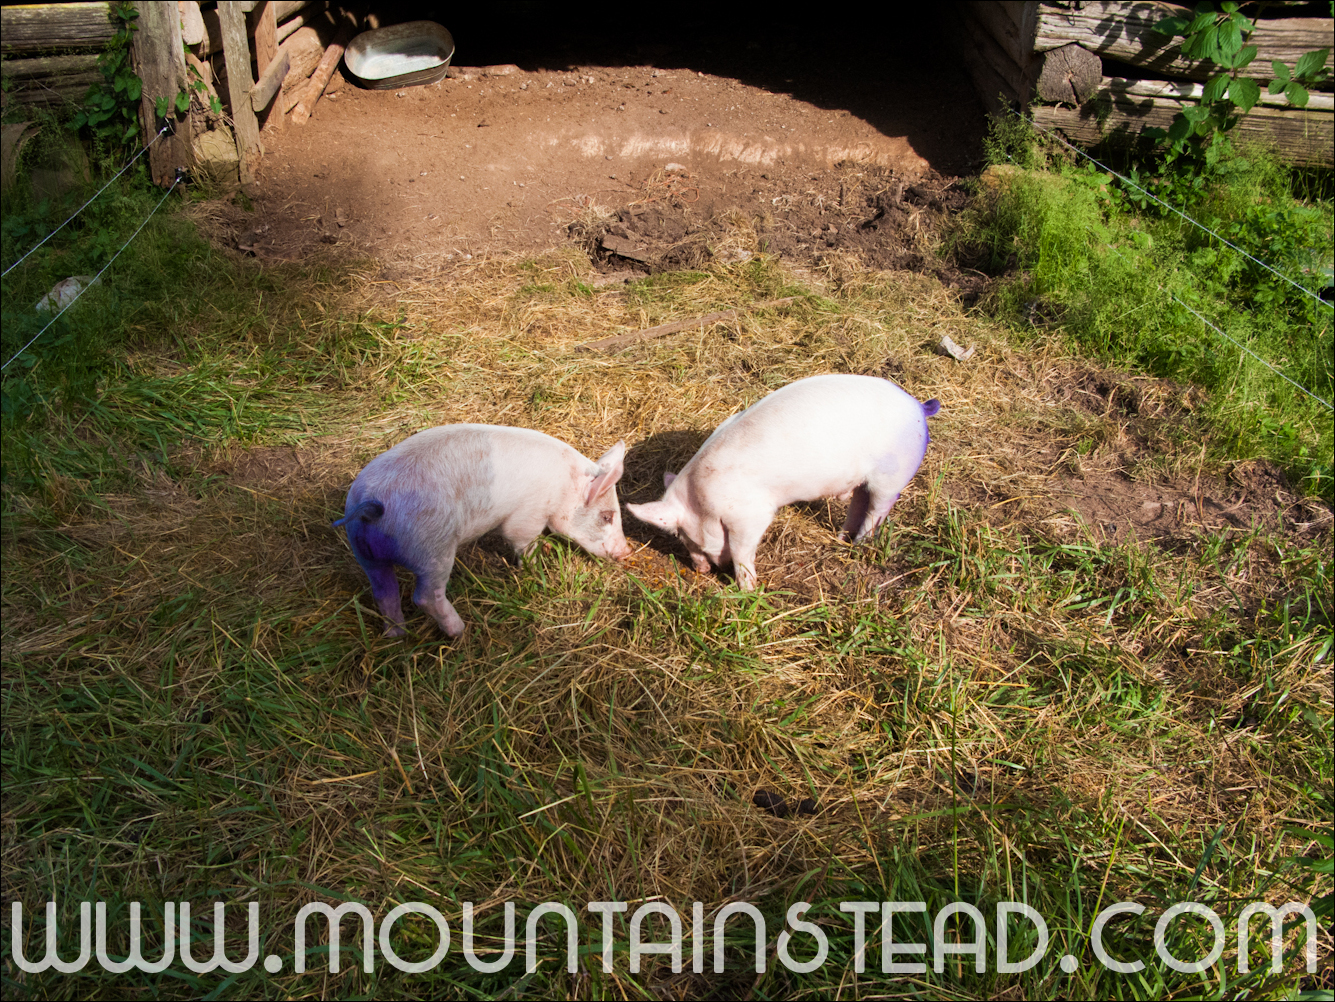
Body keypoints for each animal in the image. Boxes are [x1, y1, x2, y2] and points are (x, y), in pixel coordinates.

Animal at [334, 424, 631, 637]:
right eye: (607, 516)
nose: (627, 551)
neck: (565, 487)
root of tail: (370, 505)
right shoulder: (529, 513)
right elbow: (519, 539)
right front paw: (537, 565)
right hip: (432, 549)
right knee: (424, 597)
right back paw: (459, 631)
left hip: (365, 553)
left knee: (384, 593)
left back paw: (397, 635)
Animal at [626, 374, 940, 590]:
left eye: (692, 538)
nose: (704, 570)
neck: (701, 497)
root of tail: (919, 407)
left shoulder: (751, 515)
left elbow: (742, 550)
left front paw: (748, 591)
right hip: (867, 480)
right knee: (859, 502)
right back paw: (841, 540)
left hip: (892, 476)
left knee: (877, 510)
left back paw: (858, 545)